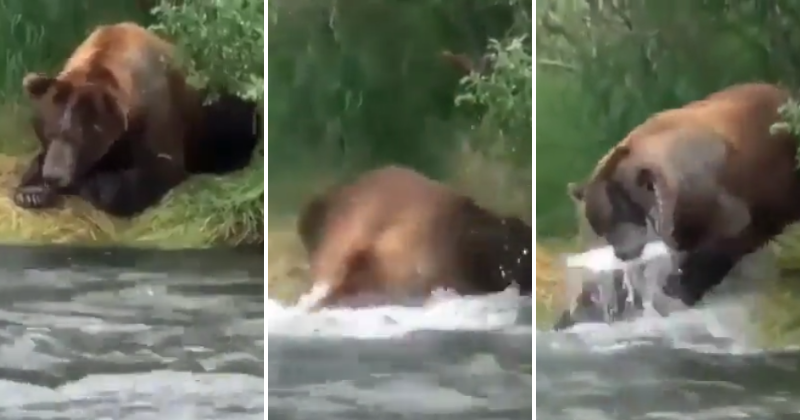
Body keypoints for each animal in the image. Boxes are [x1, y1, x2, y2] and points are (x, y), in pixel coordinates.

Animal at [13, 22, 204, 218]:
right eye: (48, 132)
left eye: (77, 137)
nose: (53, 177)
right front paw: (31, 192)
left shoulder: (156, 111)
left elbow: (162, 162)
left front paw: (99, 186)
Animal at [559, 82, 800, 325]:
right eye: (602, 225)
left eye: (626, 208)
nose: (623, 252)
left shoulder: (718, 197)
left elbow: (725, 238)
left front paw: (677, 289)